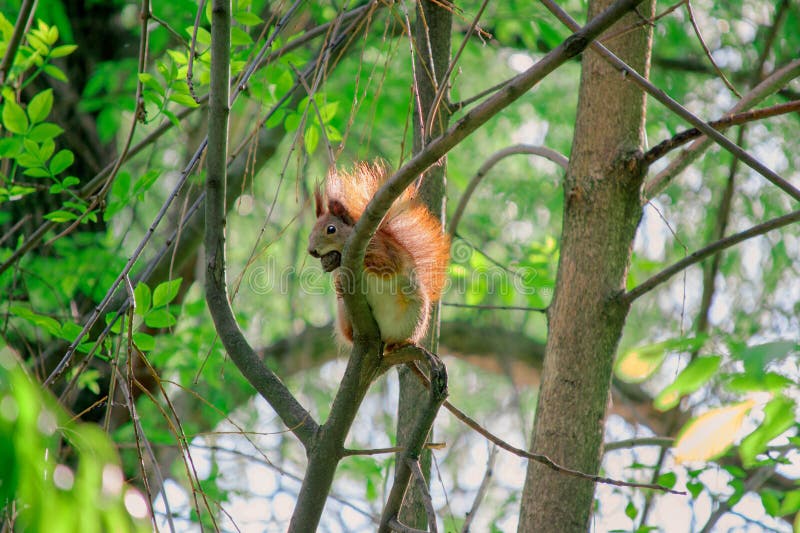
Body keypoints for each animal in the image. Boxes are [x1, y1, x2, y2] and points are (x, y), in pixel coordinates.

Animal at [308, 162, 450, 347]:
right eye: (311, 231)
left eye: (331, 229)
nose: (311, 251)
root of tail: (384, 335)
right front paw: (336, 276)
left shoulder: (386, 251)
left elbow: (385, 266)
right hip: (344, 312)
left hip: (416, 312)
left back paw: (399, 343)